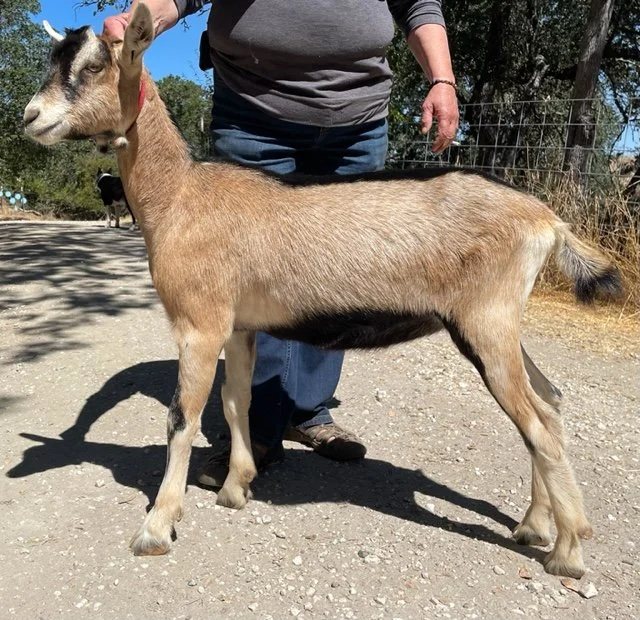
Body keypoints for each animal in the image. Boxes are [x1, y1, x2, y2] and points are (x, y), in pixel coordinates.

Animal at [24, 4, 621, 578]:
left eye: (94, 66)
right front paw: (236, 487)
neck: (181, 196)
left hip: (485, 322)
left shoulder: (199, 323)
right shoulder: (239, 325)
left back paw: (568, 550)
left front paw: (156, 526)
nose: (31, 117)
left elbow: (182, 417)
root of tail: (546, 219)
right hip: (501, 324)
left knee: (539, 425)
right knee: (550, 403)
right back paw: (533, 525)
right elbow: (237, 401)